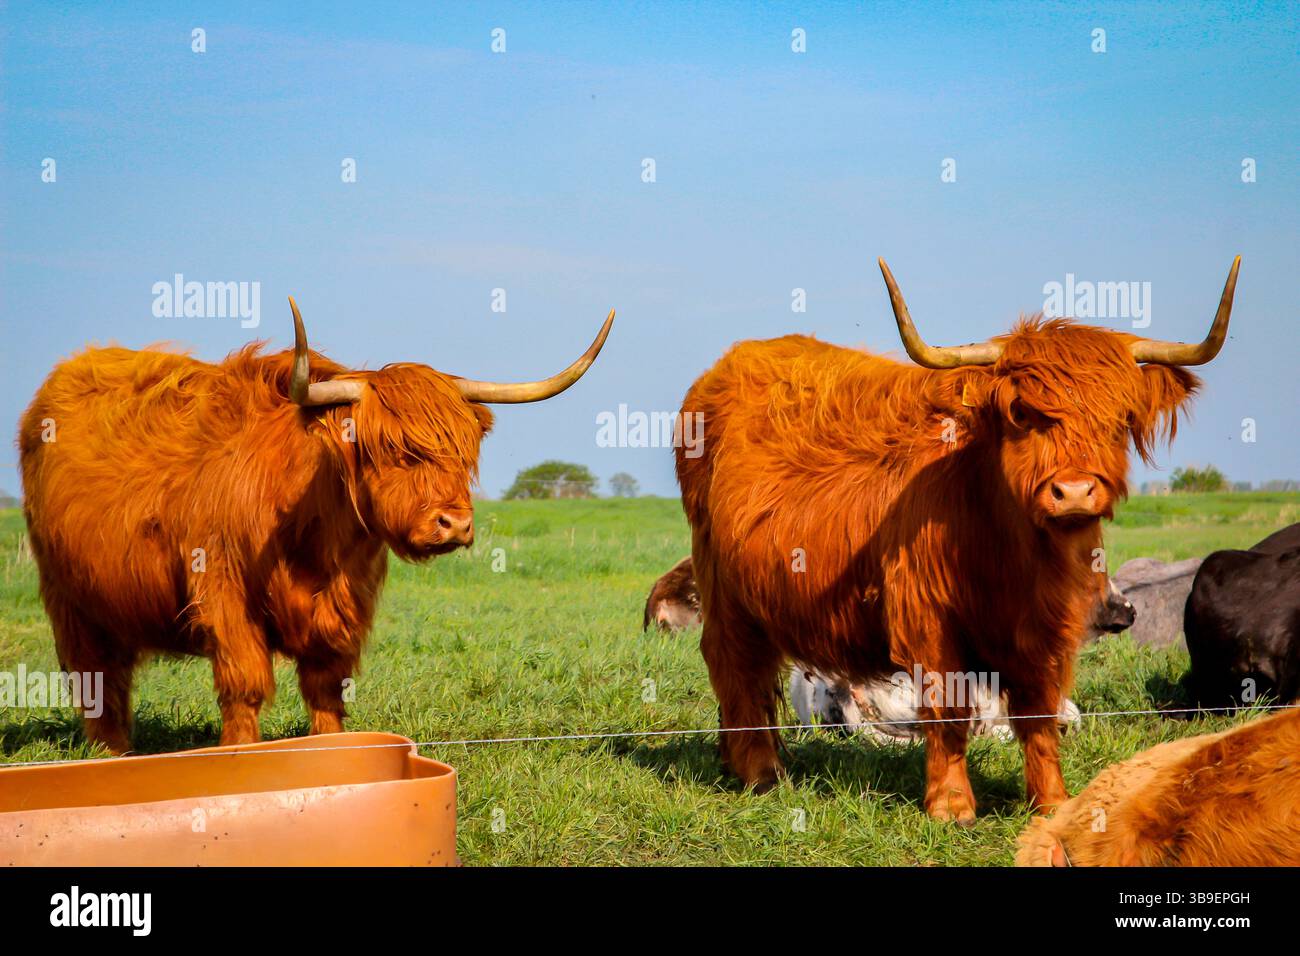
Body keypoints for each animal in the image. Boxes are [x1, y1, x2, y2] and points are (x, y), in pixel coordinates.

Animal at [19, 299, 614, 753]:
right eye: (392, 449)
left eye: (464, 450)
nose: (455, 523)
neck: (316, 542)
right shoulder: (223, 595)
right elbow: (243, 689)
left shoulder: (342, 613)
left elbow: (326, 693)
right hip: (71, 600)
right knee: (100, 686)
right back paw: (112, 757)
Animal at [676, 256, 1239, 822]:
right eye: (1023, 414)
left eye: (1119, 419)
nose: (1075, 491)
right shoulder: (928, 618)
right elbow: (948, 709)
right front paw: (951, 805)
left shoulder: (1046, 628)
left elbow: (1039, 712)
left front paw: (1052, 802)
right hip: (721, 584)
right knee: (734, 664)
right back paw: (760, 772)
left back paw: (737, 759)